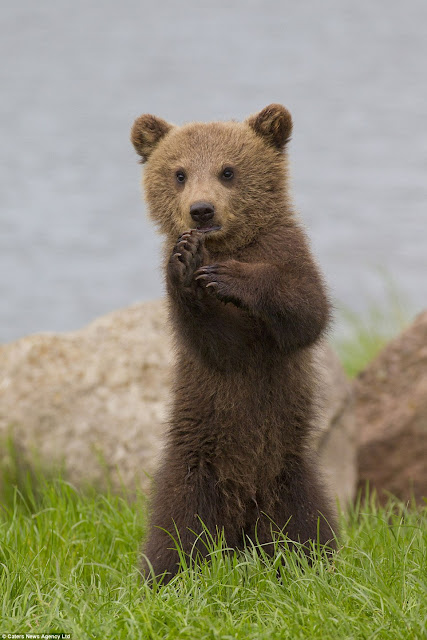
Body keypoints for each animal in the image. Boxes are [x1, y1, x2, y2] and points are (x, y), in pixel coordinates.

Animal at [131, 104, 337, 583]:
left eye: (228, 171)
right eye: (179, 173)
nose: (201, 211)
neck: (230, 244)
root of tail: (243, 525)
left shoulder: (288, 252)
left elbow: (307, 312)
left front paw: (229, 277)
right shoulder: (214, 349)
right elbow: (218, 345)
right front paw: (187, 265)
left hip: (289, 474)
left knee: (307, 528)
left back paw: (312, 567)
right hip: (193, 471)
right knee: (177, 535)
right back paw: (165, 578)